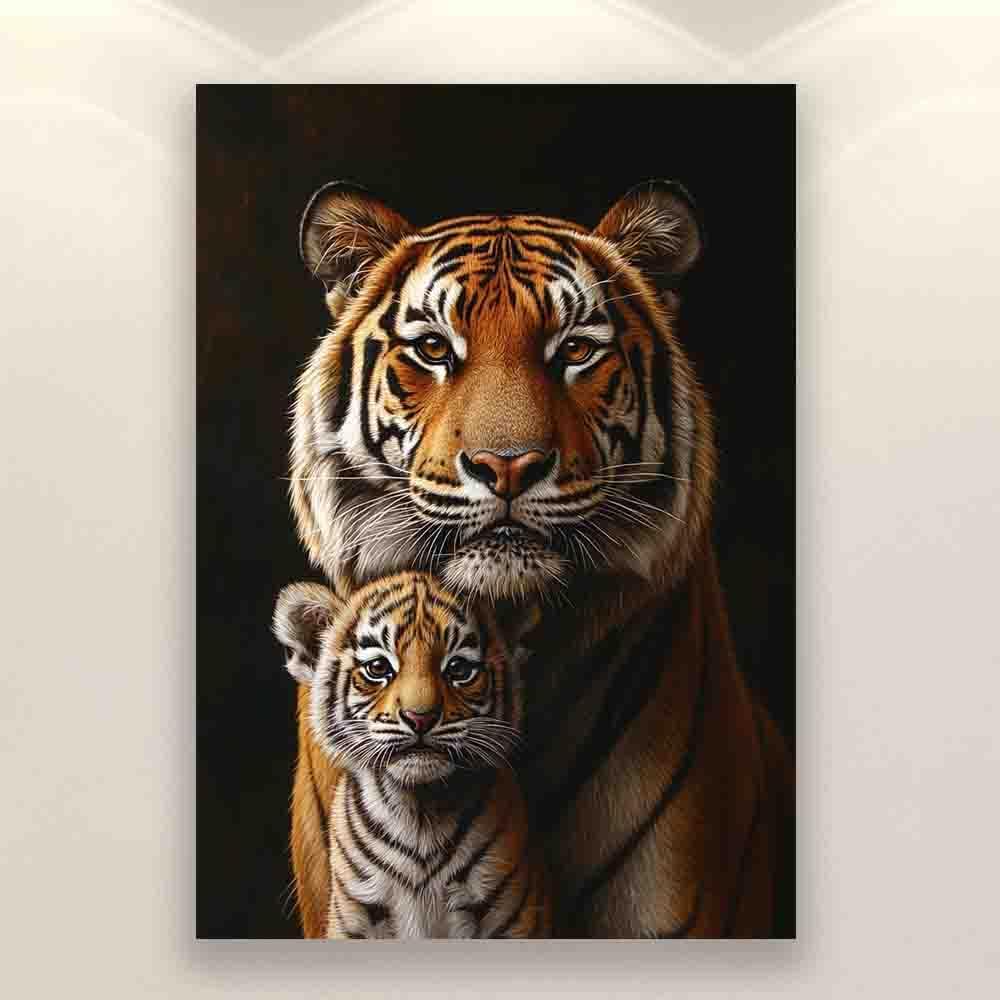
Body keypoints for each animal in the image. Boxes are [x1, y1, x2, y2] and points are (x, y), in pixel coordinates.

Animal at [273, 572, 551, 938]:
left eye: (459, 669)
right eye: (378, 668)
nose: (420, 717)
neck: (419, 814)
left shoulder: (509, 916)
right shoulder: (356, 917)